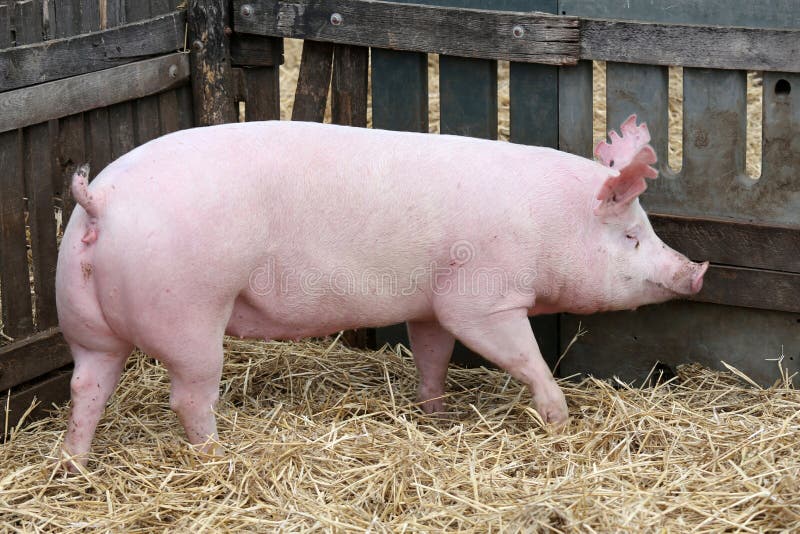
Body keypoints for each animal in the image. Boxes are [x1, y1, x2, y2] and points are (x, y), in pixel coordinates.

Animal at [56, 115, 708, 469]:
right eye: (631, 236)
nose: (696, 271)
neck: (548, 223)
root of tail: (100, 201)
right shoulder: (481, 297)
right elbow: (522, 356)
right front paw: (560, 420)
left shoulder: (430, 304)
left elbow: (433, 356)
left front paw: (436, 416)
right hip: (190, 313)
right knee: (189, 398)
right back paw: (218, 456)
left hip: (83, 320)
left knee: (86, 386)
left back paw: (75, 463)